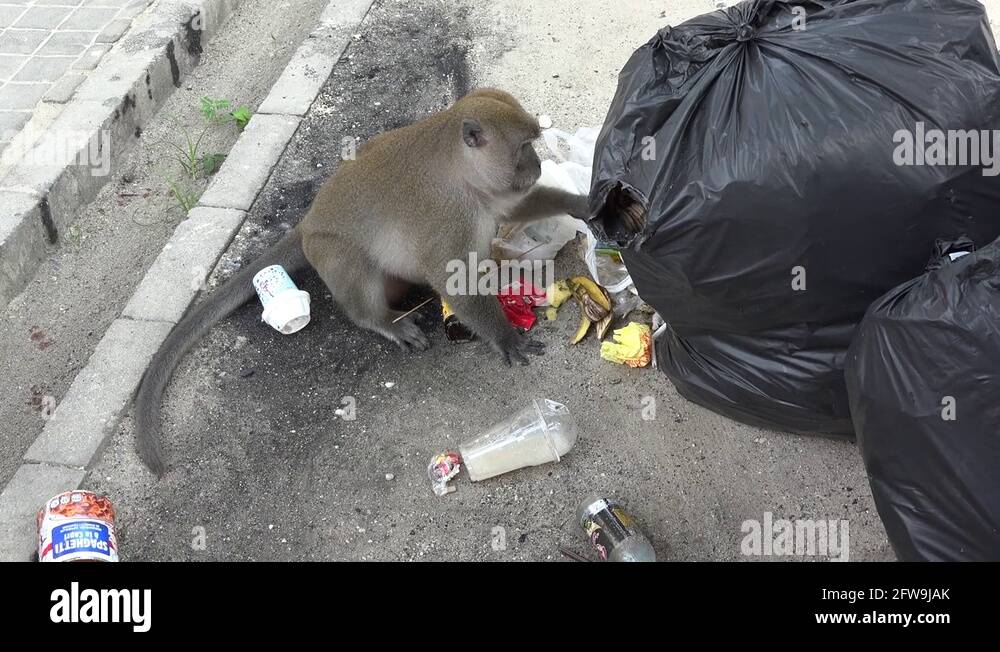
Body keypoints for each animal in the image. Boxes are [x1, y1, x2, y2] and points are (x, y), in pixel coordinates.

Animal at [134, 88, 590, 475]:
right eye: (524, 147)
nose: (537, 165)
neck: (461, 171)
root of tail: (307, 223)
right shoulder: (449, 217)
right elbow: (453, 280)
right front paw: (506, 338)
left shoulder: (490, 193)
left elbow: (515, 208)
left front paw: (586, 203)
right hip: (327, 251)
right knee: (354, 264)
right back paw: (380, 319)